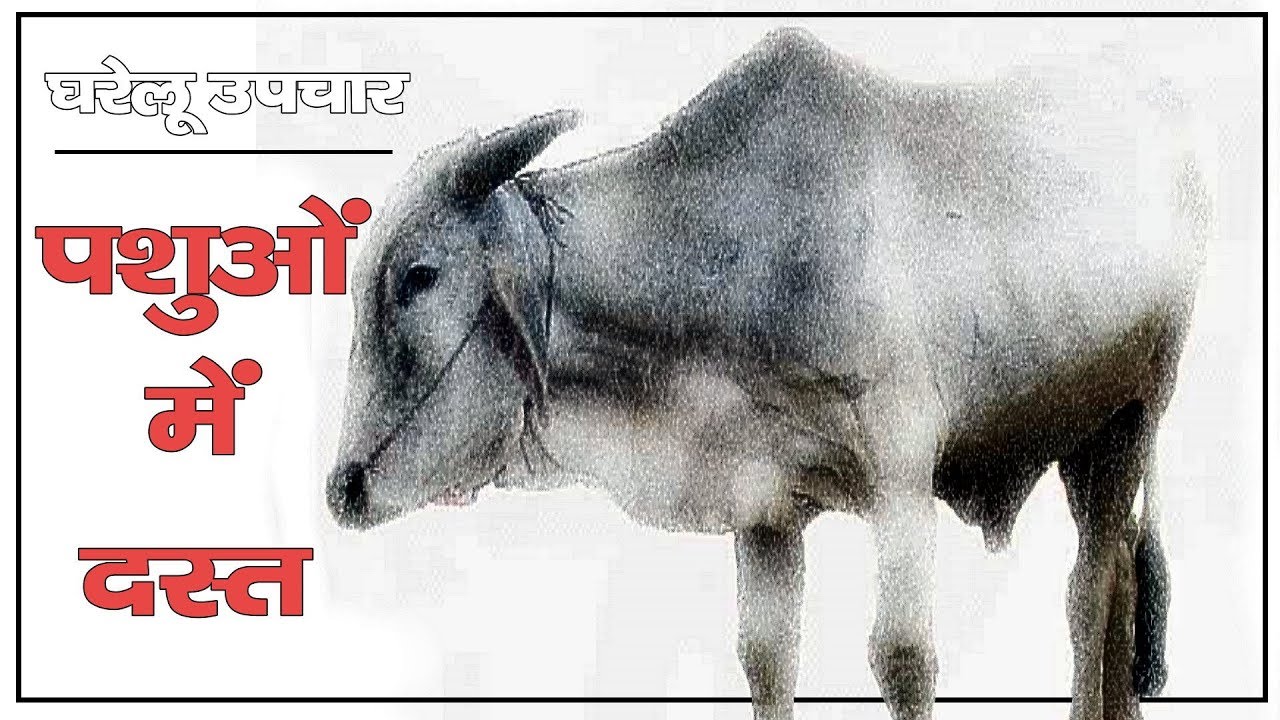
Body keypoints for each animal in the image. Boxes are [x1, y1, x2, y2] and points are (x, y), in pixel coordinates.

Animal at [325, 28, 1210, 720]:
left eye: (419, 275)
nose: (346, 488)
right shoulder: (764, 501)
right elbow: (765, 658)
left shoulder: (901, 466)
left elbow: (903, 657)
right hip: (1082, 434)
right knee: (1119, 581)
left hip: (1137, 410)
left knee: (1090, 591)